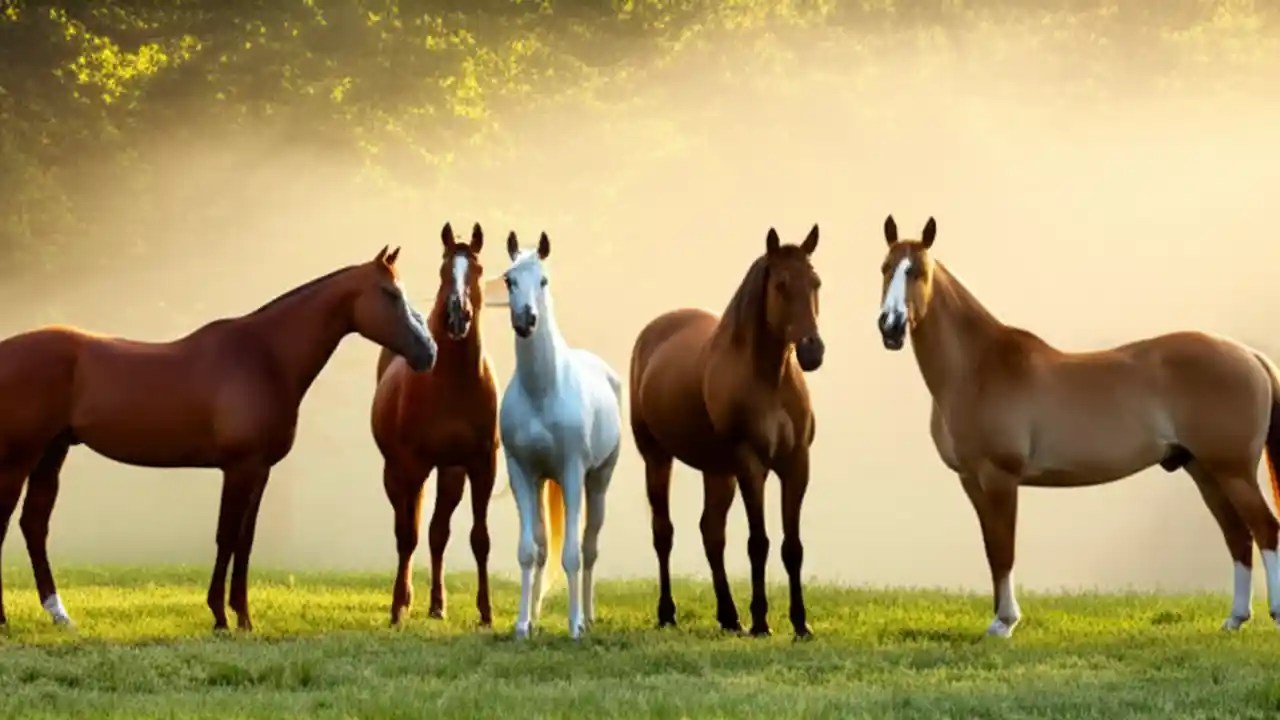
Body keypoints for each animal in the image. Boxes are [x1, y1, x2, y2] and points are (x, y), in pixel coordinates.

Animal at [0, 246, 436, 631]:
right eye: (391, 294)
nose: (428, 352)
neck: (266, 356)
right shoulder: (238, 468)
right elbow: (226, 537)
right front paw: (220, 616)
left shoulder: (259, 471)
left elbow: (245, 541)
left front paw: (242, 617)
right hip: (18, 459)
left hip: (51, 453)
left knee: (34, 525)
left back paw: (59, 614)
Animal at [371, 222, 499, 627]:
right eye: (444, 270)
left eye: (477, 269)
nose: (458, 316)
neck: (452, 381)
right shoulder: (411, 465)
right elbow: (406, 535)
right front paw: (398, 607)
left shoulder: (481, 465)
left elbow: (479, 538)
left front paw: (486, 612)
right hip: (397, 473)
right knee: (408, 528)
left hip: (450, 473)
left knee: (438, 532)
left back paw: (437, 604)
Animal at [494, 230, 623, 640]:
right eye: (509, 279)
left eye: (544, 280)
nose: (526, 320)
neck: (542, 390)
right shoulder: (522, 473)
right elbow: (529, 551)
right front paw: (522, 624)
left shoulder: (572, 472)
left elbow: (572, 554)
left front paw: (574, 626)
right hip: (542, 484)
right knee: (542, 547)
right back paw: (536, 615)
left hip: (597, 482)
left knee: (589, 545)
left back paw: (588, 616)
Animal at [629, 225, 824, 639]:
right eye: (781, 284)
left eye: (815, 282)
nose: (812, 351)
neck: (770, 380)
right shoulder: (751, 466)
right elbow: (759, 543)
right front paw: (762, 621)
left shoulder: (796, 465)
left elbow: (792, 547)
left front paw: (800, 623)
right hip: (657, 457)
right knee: (663, 533)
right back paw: (668, 612)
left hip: (717, 470)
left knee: (711, 532)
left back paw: (729, 616)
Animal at [875, 215, 1280, 637]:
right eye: (885, 269)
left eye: (918, 272)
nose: (891, 326)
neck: (978, 368)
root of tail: (1249, 355)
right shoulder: (971, 480)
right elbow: (991, 549)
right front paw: (998, 619)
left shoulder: (1000, 478)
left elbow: (1004, 549)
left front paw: (1005, 622)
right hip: (1204, 471)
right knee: (1238, 536)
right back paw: (1235, 618)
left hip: (1233, 471)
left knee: (1266, 529)